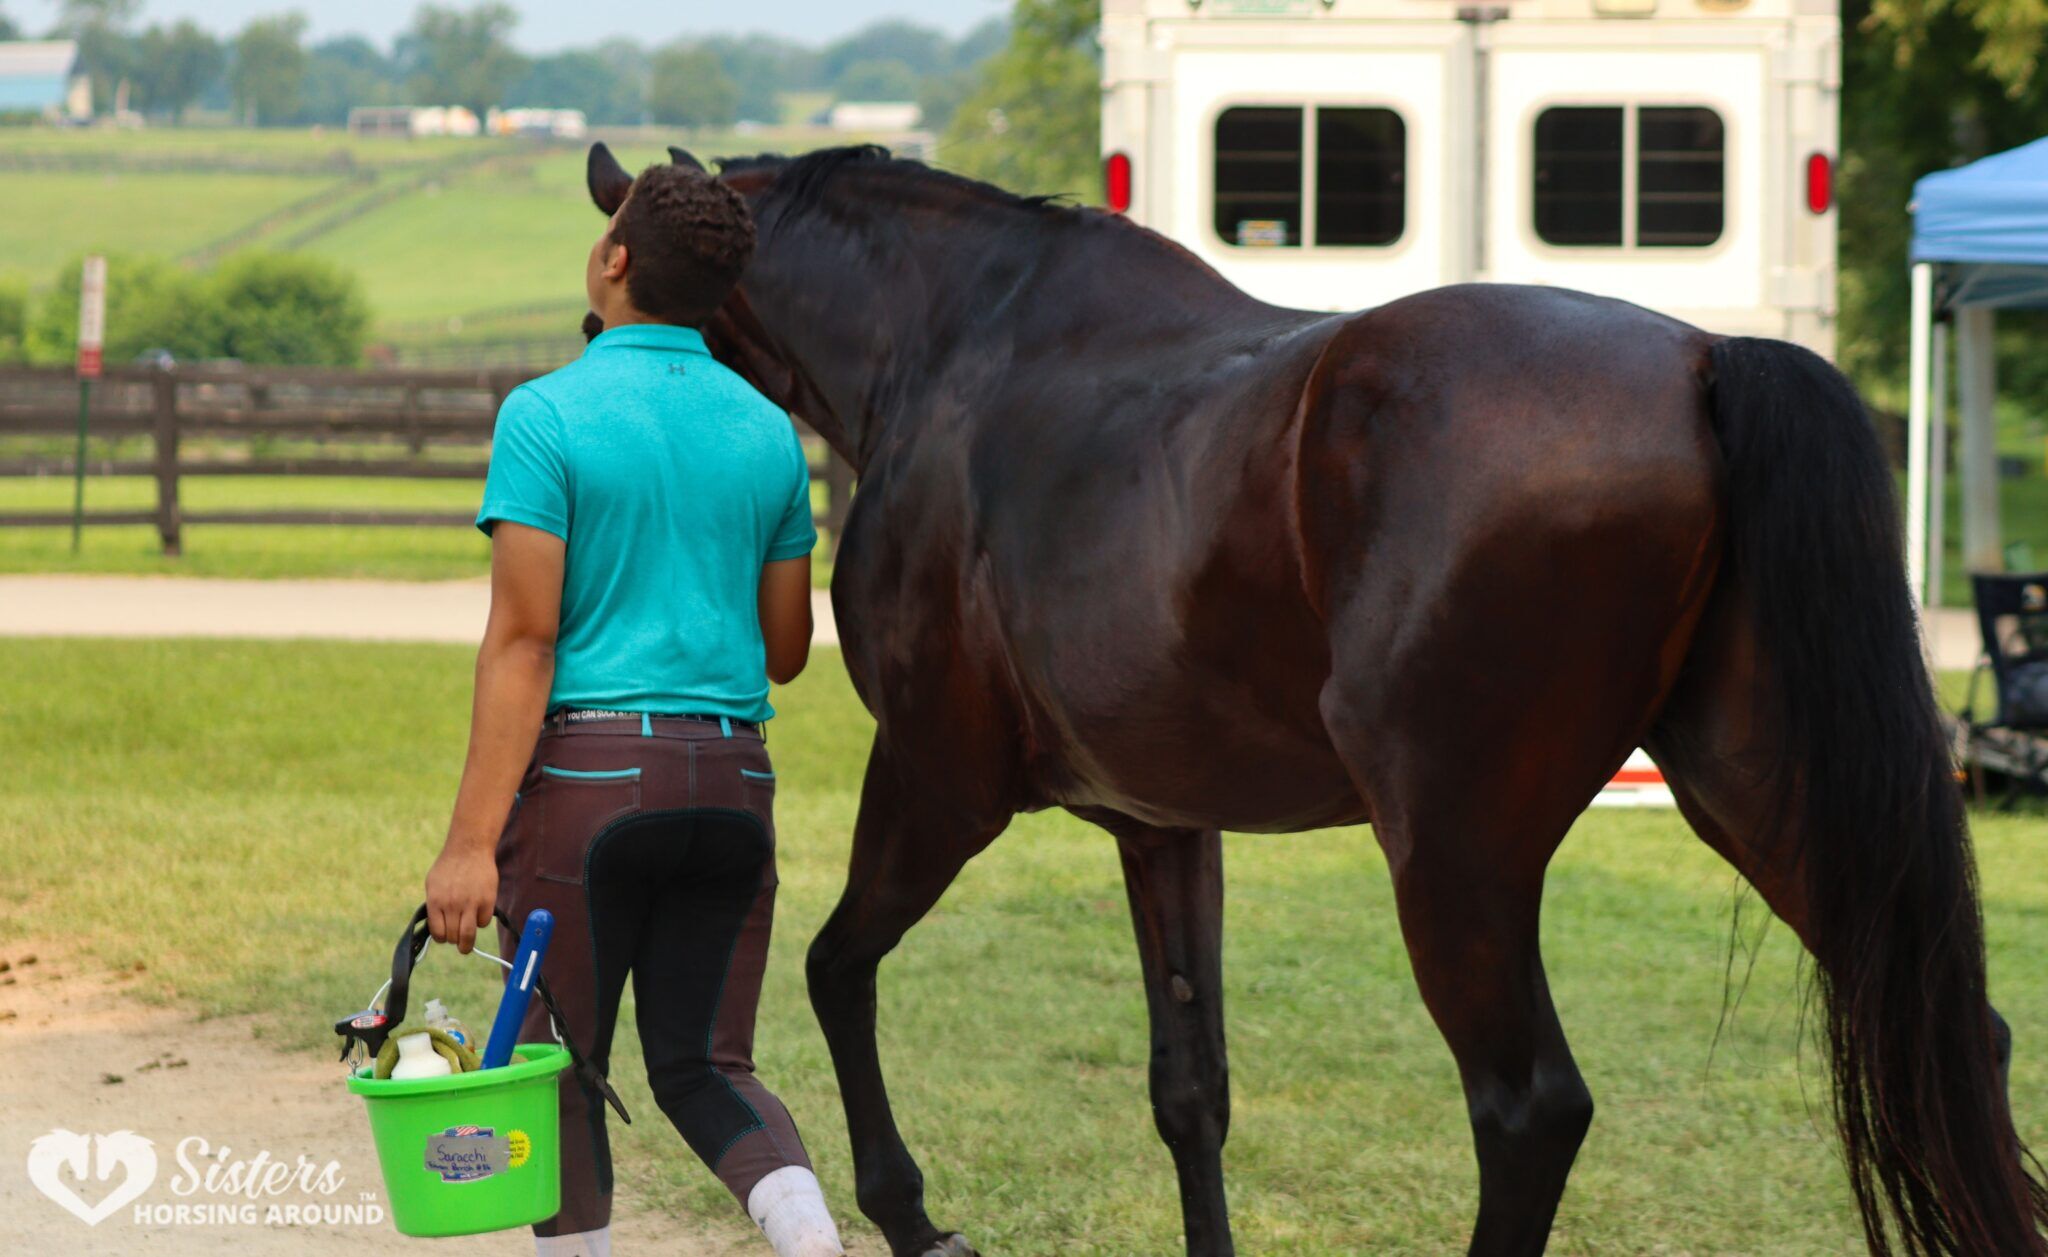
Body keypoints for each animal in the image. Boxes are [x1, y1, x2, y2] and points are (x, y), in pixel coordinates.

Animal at [580, 141, 2046, 1257]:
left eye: (604, 305)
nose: (590, 369)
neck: (951, 349)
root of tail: (1701, 363)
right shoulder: (1162, 825)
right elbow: (1190, 1089)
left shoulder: (937, 777)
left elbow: (834, 969)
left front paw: (912, 1214)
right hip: (1759, 795)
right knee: (1955, 1029)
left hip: (1455, 849)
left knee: (1527, 1109)